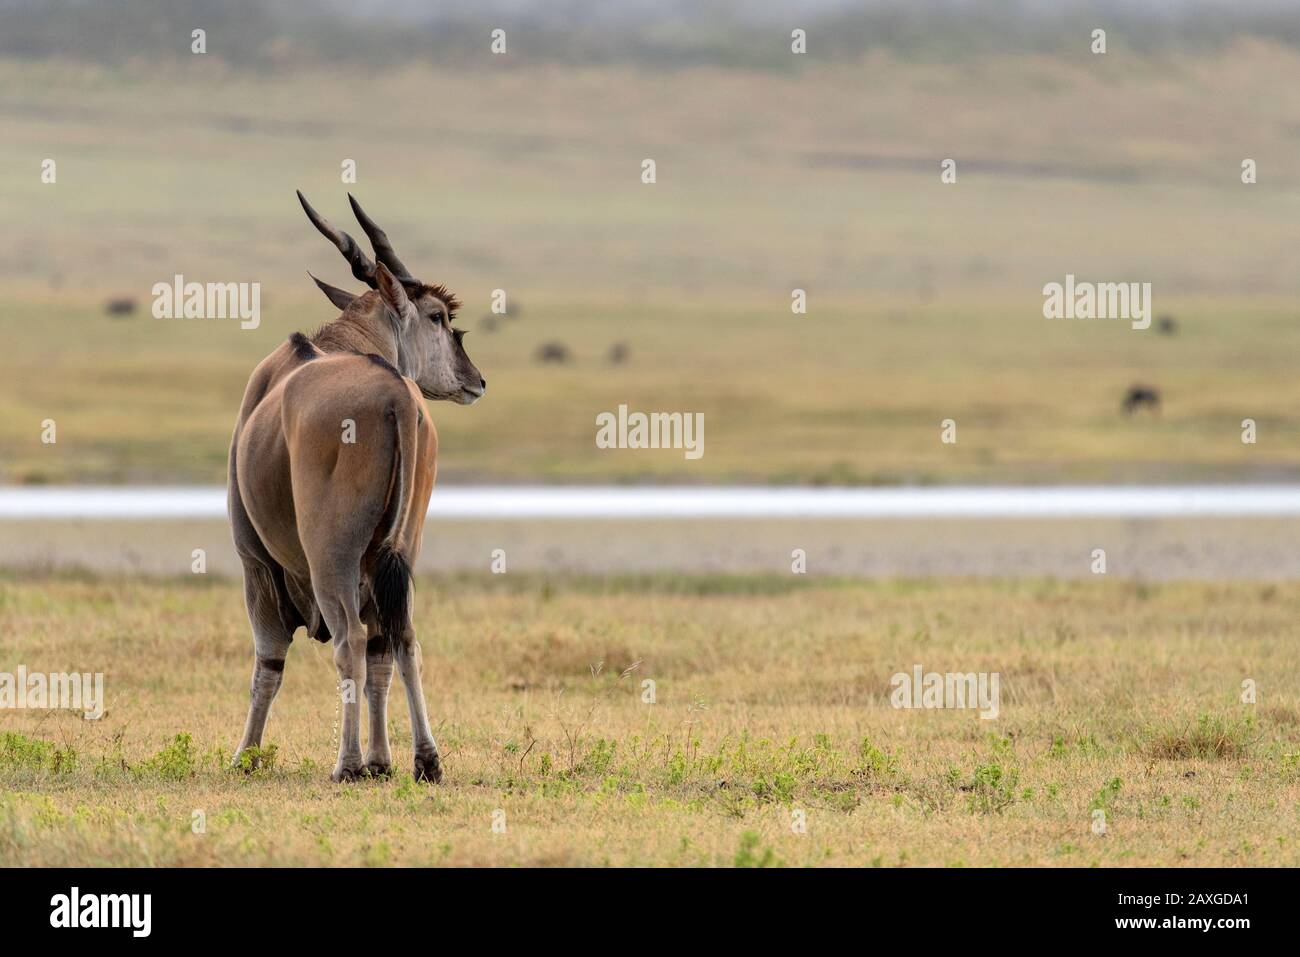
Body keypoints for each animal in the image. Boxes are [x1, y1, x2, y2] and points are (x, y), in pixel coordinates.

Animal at [228, 192, 484, 783]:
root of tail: (397, 397)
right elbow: (384, 656)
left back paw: (344, 764)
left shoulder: (255, 562)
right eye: (438, 318)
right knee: (399, 639)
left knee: (350, 642)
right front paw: (381, 759)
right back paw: (424, 759)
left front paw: (245, 755)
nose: (477, 379)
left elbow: (268, 663)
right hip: (401, 550)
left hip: (332, 556)